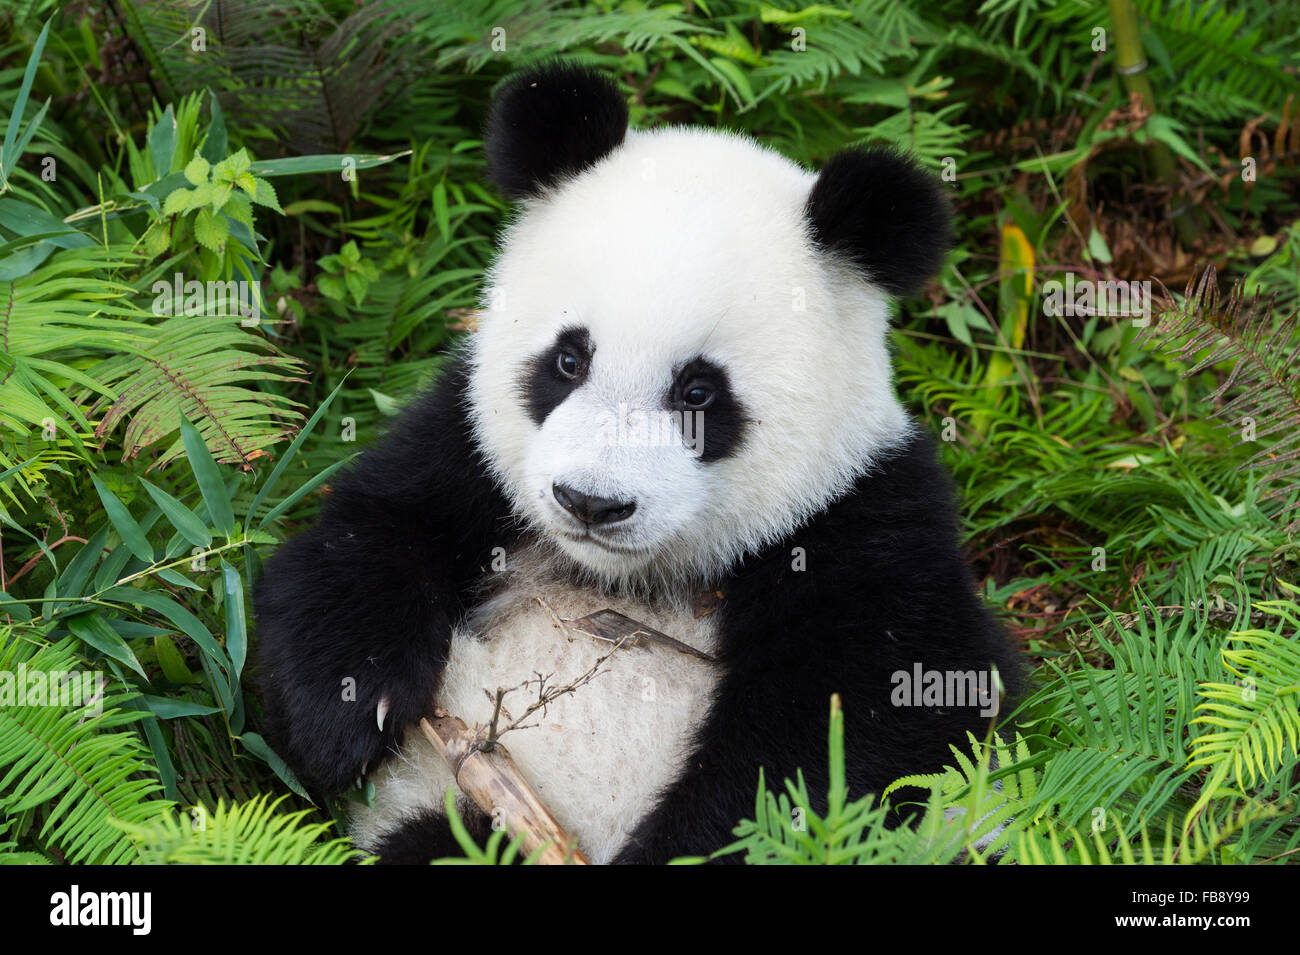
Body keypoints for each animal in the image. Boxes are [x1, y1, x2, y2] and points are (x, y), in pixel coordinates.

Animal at [254, 62, 1022, 865]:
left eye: (698, 392)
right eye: (568, 360)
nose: (590, 503)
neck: (628, 578)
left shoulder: (862, 511)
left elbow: (861, 721)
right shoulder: (465, 448)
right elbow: (367, 534)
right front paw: (345, 716)